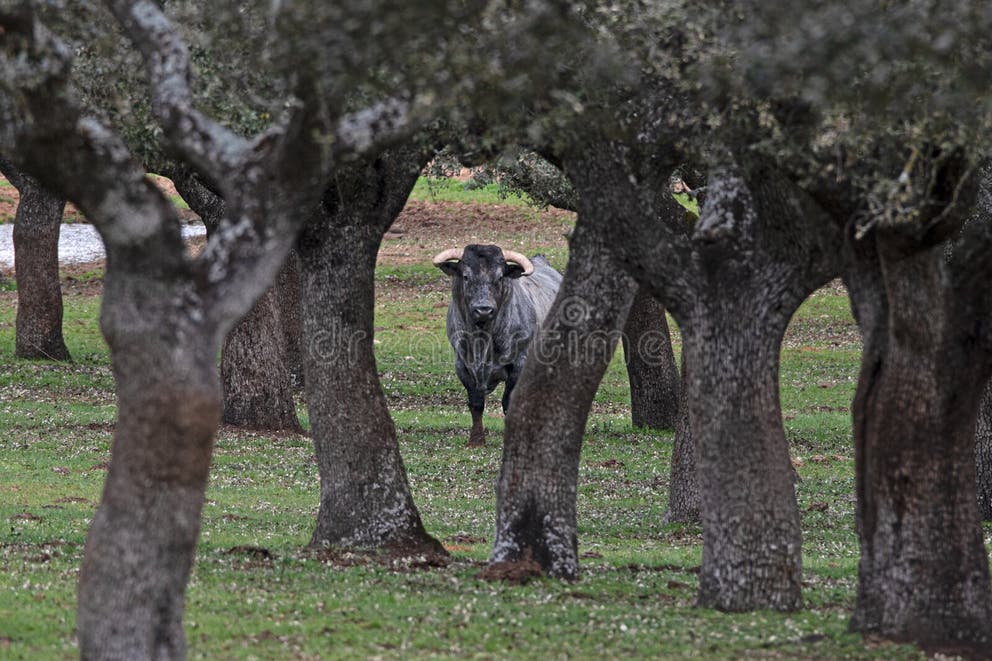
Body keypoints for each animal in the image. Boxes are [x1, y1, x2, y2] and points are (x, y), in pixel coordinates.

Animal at [433, 244, 562, 446]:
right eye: (466, 276)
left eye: (500, 277)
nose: (483, 310)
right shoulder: (462, 365)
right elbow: (476, 403)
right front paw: (476, 440)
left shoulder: (518, 364)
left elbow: (508, 403)